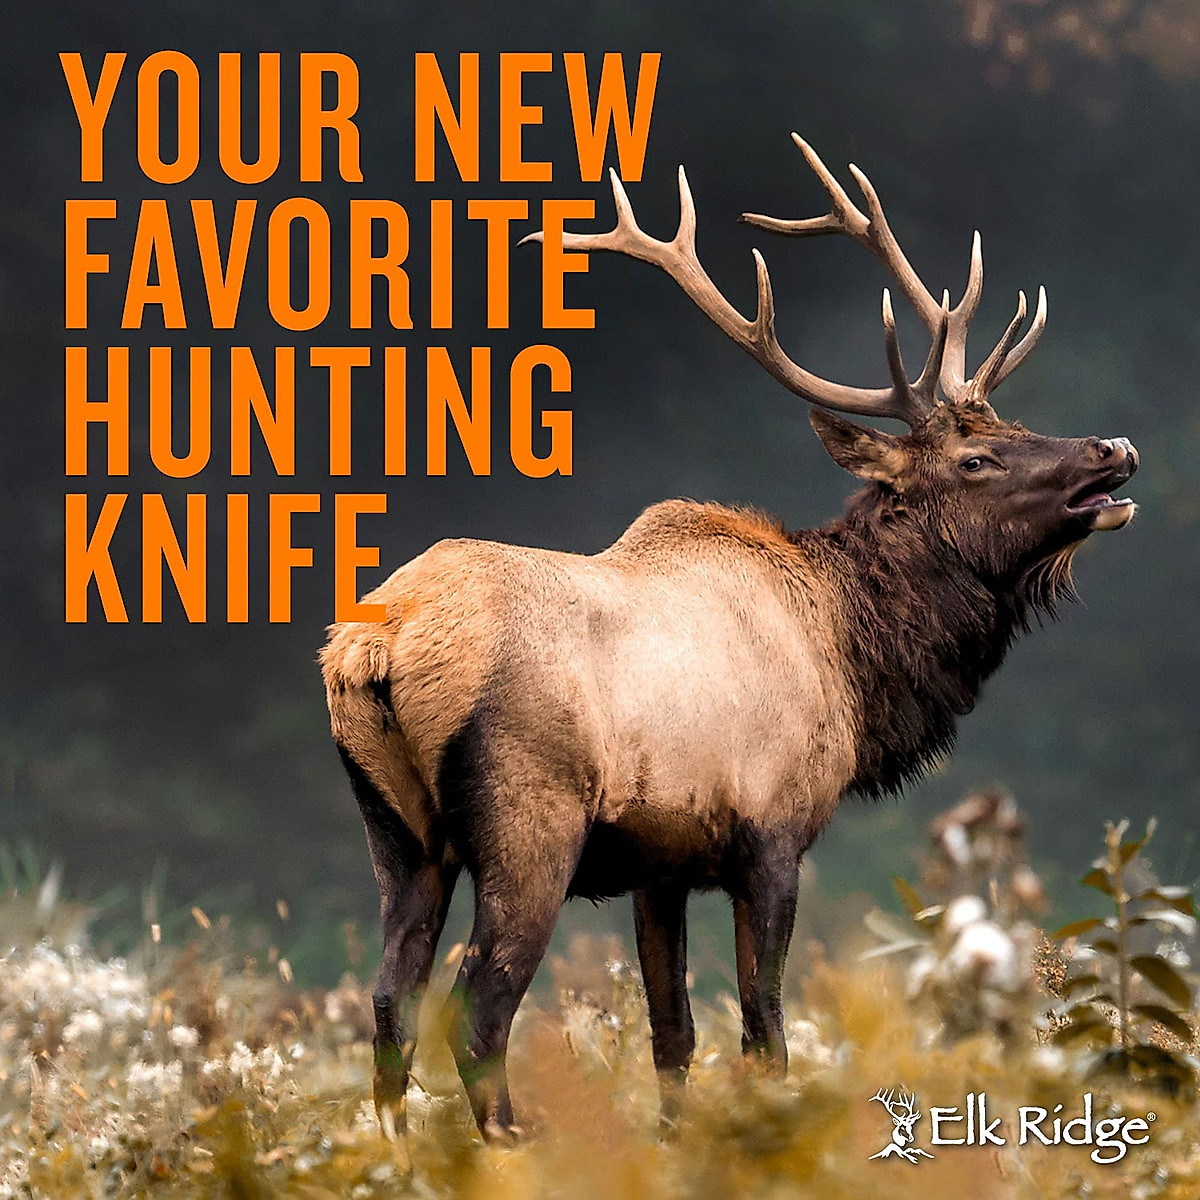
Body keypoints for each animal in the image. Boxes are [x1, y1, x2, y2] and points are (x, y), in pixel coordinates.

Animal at [320, 132, 1138, 1144]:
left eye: (1014, 423)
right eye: (974, 458)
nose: (1112, 449)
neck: (855, 662)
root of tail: (372, 649)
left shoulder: (658, 863)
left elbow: (673, 1036)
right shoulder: (772, 832)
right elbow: (765, 1031)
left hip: (398, 833)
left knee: (389, 998)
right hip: (528, 817)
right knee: (478, 1005)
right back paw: (513, 1145)